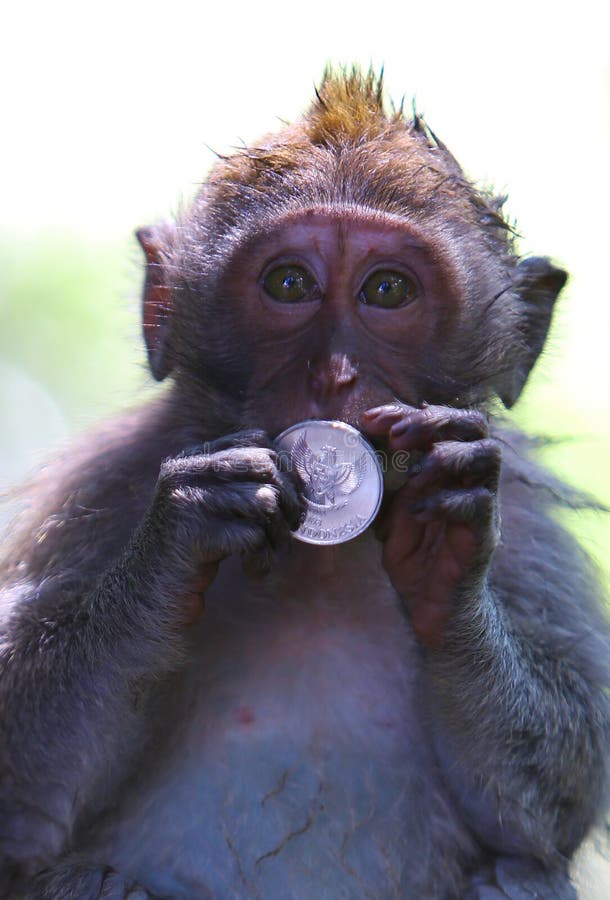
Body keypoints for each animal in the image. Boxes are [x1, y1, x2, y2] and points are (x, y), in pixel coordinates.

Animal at [1, 67, 608, 900]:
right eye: (290, 283)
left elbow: (559, 799)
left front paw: (445, 552)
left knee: (524, 871)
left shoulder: (528, 525)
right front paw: (179, 535)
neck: (321, 562)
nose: (333, 373)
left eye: (388, 291)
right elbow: (23, 791)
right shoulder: (103, 487)